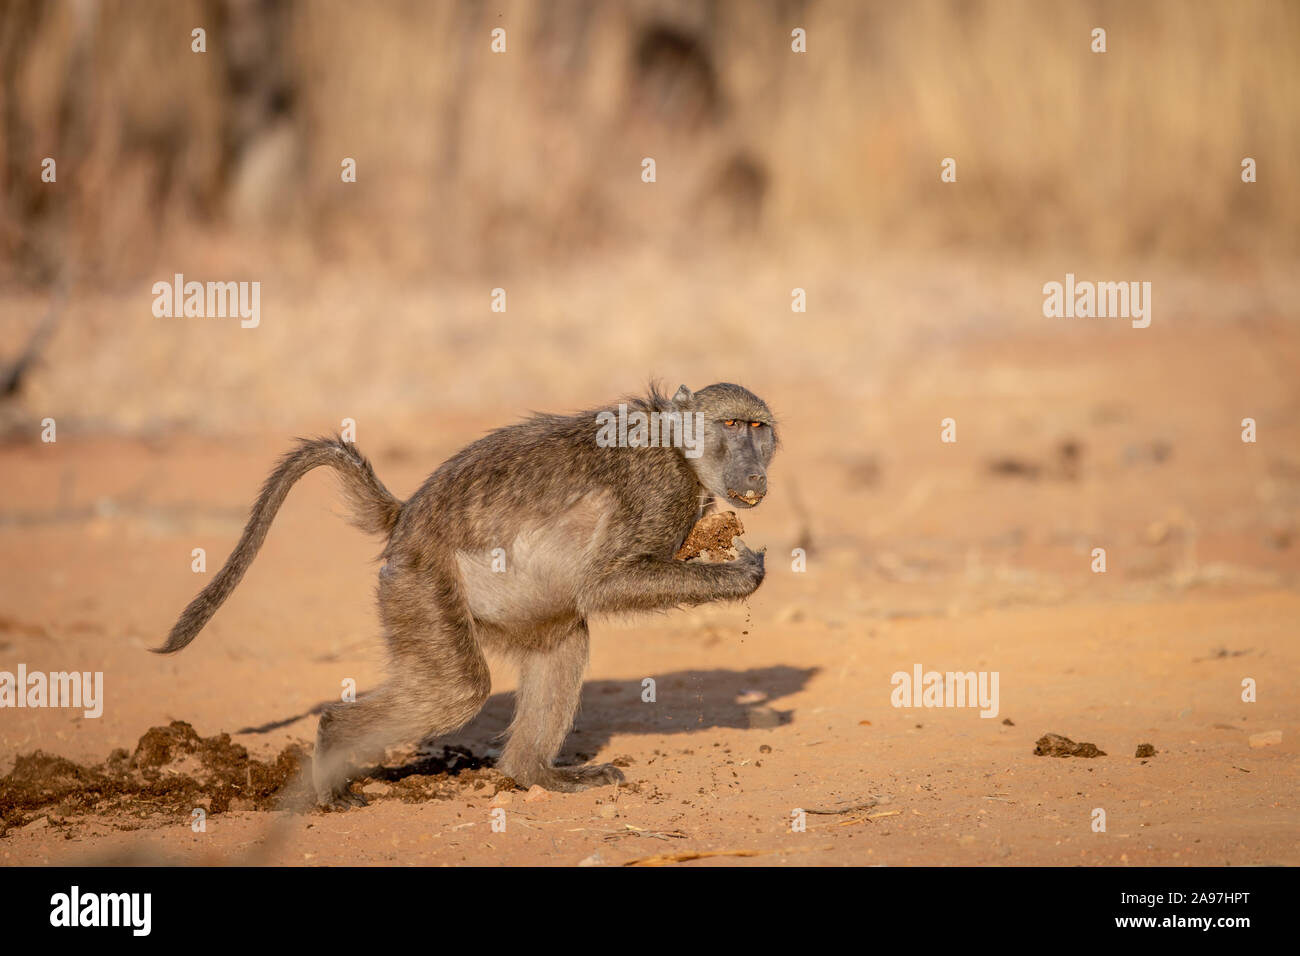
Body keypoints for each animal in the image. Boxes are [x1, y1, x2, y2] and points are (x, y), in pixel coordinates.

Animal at [157, 383, 778, 808]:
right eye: (731, 423)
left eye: (760, 428)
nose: (756, 475)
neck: (678, 448)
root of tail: (405, 516)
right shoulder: (658, 488)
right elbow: (605, 583)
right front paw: (742, 573)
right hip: (419, 584)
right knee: (458, 689)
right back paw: (333, 755)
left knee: (564, 642)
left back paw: (533, 775)